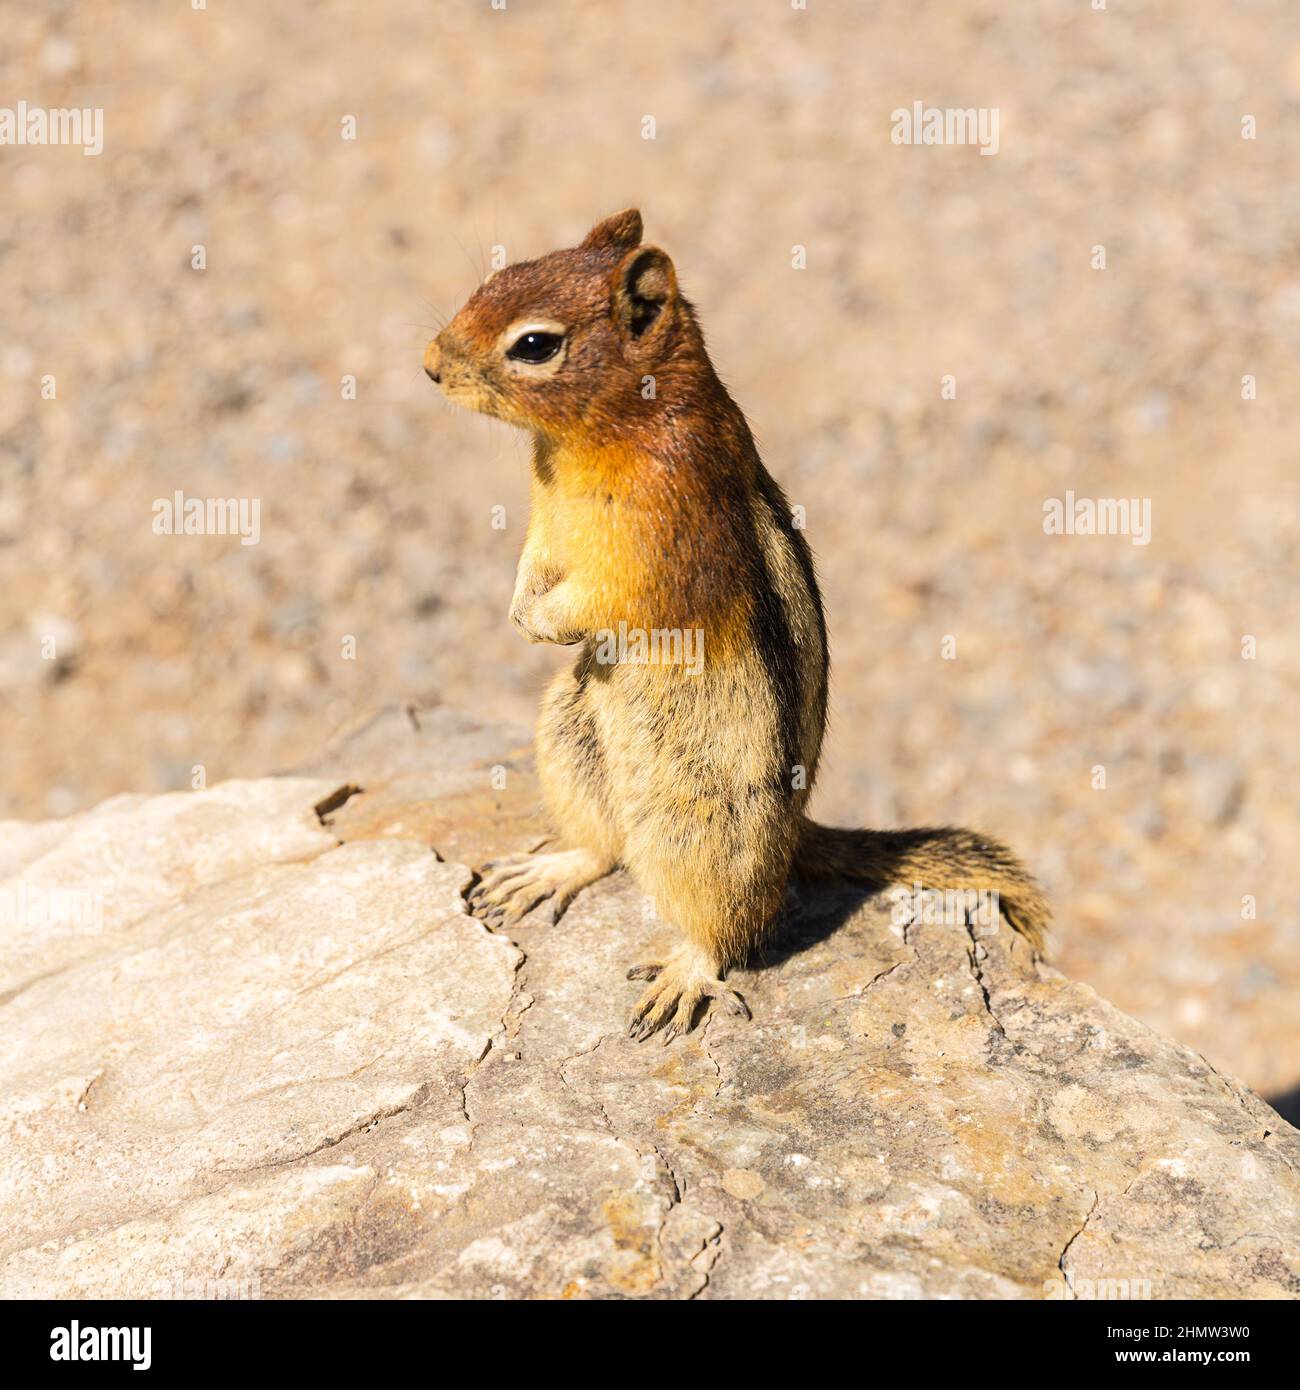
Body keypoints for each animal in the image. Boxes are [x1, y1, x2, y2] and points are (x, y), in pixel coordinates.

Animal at [424, 209, 1049, 1043]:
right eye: (497, 275)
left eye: (533, 344)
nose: (429, 364)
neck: (604, 430)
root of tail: (795, 833)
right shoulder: (546, 522)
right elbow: (534, 560)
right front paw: (522, 610)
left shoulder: (662, 537)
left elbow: (612, 598)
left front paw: (545, 621)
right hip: (569, 733)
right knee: (604, 849)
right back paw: (549, 869)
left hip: (702, 829)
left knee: (728, 926)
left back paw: (685, 974)